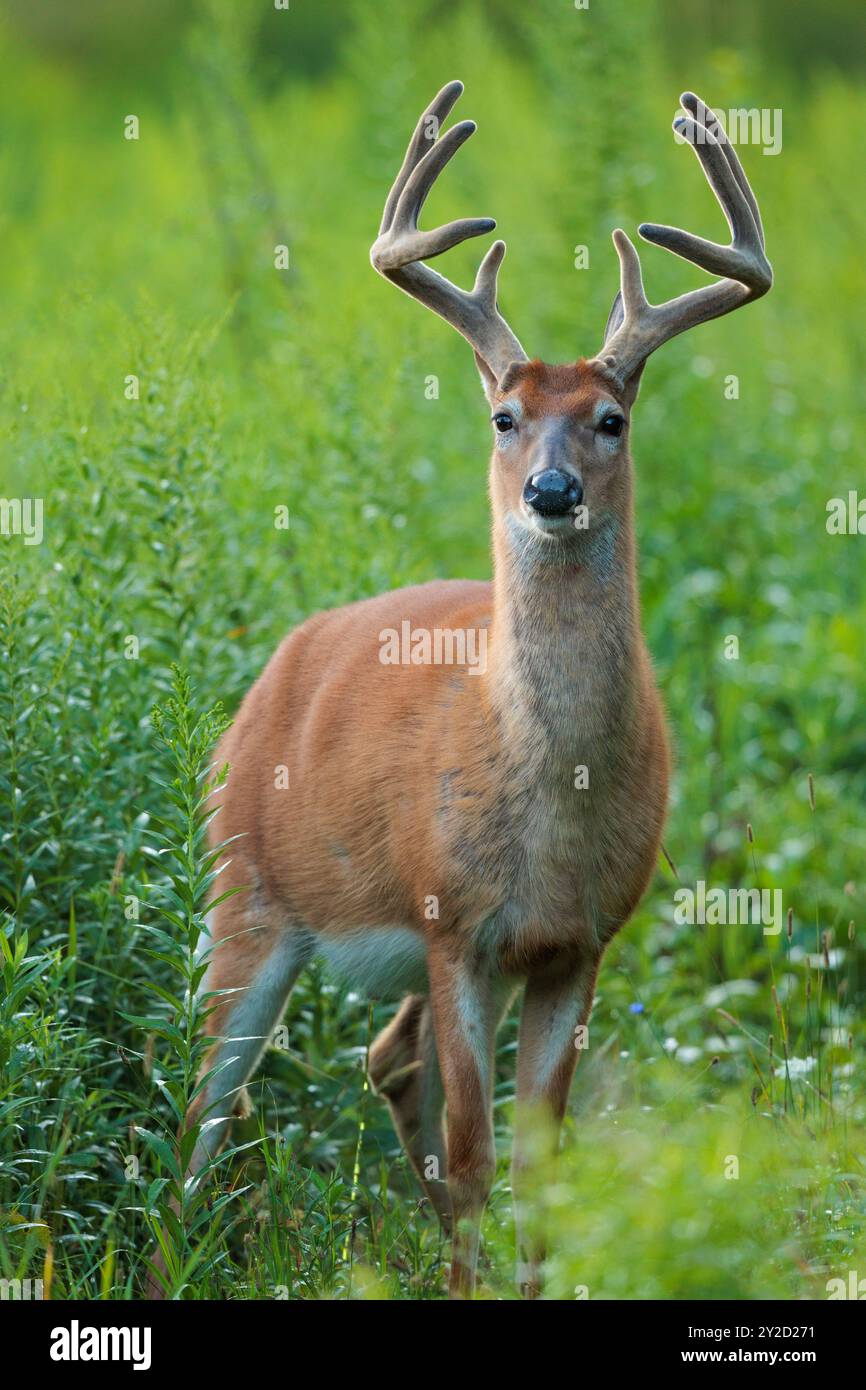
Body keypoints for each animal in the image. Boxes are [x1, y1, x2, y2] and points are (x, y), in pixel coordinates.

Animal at [157, 82, 771, 1300]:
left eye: (611, 419)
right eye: (503, 415)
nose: (550, 491)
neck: (549, 799)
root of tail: (272, 672)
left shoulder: (578, 941)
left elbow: (538, 1165)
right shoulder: (456, 927)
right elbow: (480, 1152)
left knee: (381, 1056)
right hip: (244, 889)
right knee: (205, 1102)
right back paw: (178, 1255)